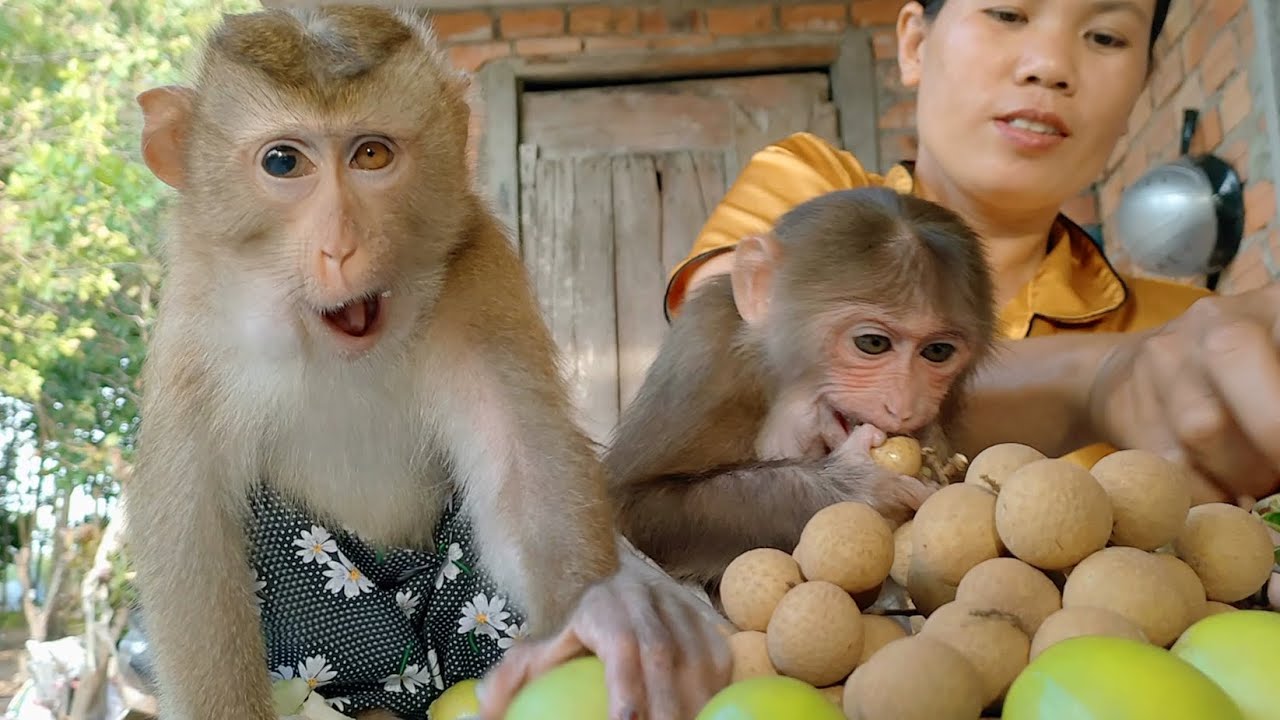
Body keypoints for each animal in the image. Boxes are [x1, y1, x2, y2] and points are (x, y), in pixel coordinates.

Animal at [123, 7, 727, 720]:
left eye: (372, 155)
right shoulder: (195, 320)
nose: (340, 247)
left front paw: (599, 610)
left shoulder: (478, 266)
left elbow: (517, 462)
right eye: (282, 161)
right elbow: (193, 541)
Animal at [602, 186, 998, 591]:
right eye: (873, 343)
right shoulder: (703, 360)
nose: (903, 407)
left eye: (937, 352)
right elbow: (638, 502)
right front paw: (853, 484)